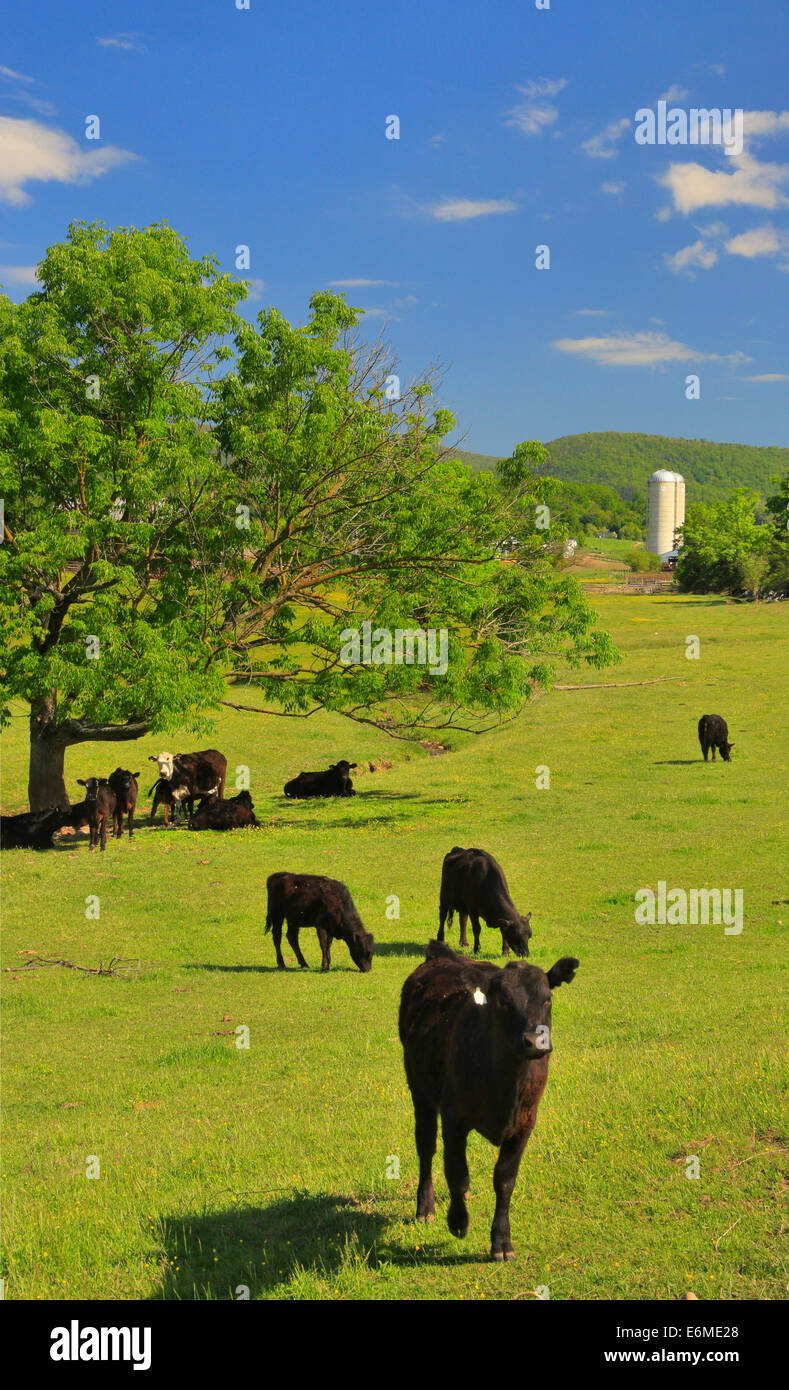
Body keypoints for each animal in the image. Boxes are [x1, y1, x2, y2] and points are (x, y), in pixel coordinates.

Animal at [399, 940, 579, 1261]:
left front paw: (502, 1242)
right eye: (503, 1000)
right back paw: (425, 1207)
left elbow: (505, 1180)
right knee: (426, 1148)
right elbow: (457, 1173)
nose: (536, 1042)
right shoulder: (454, 1118)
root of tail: (440, 954)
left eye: (547, 999)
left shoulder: (524, 1124)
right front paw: (458, 1221)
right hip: (420, 1092)